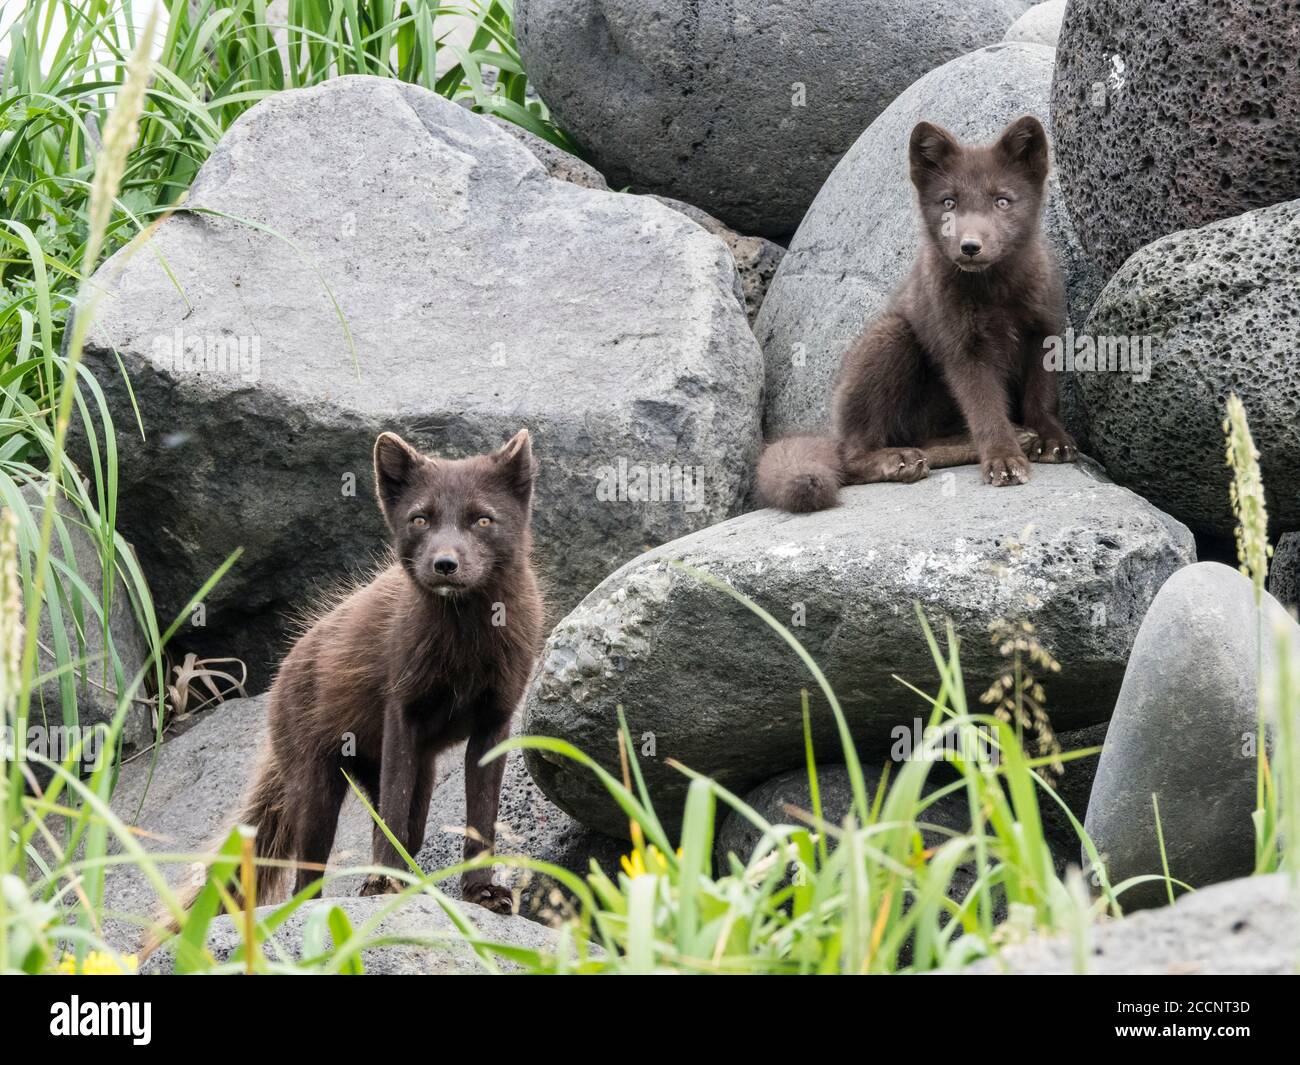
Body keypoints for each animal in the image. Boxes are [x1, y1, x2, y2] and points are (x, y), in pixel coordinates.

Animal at [149, 429, 543, 949]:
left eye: (482, 519)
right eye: (420, 518)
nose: (444, 564)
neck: (465, 650)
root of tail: (284, 672)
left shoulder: (495, 720)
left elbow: (480, 819)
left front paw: (481, 893)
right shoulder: (402, 713)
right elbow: (393, 812)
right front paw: (382, 886)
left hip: (414, 776)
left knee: (406, 834)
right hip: (316, 792)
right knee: (305, 879)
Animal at [758, 115, 1077, 513]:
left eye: (1002, 201)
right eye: (948, 202)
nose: (970, 247)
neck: (996, 294)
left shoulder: (1044, 334)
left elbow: (1041, 398)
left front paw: (1052, 439)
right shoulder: (964, 351)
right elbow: (986, 411)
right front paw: (1003, 459)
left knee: (928, 444)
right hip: (893, 337)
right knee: (853, 457)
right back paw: (898, 460)